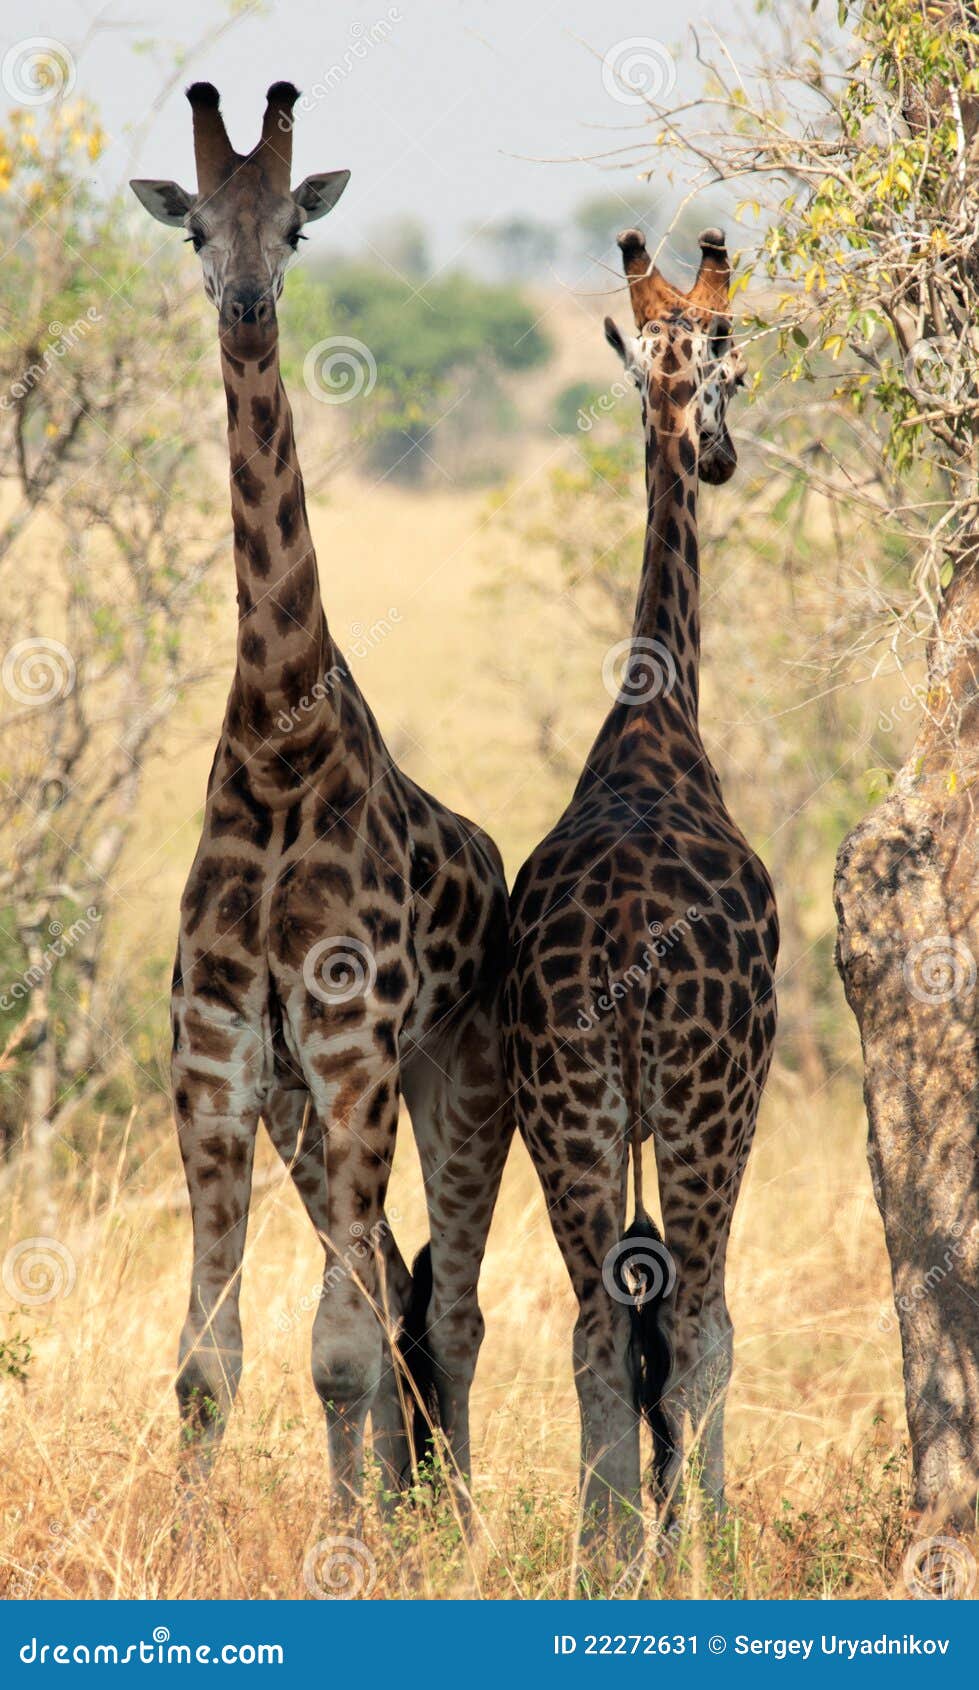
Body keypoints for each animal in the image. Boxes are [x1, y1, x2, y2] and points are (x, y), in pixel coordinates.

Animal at [130, 83, 512, 1506]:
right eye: (198, 230)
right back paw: (411, 1504)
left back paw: (450, 1519)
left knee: (445, 1302)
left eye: (293, 225)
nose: (247, 305)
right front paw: (191, 1538)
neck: (277, 741)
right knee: (396, 1280)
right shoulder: (221, 1059)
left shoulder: (355, 1050)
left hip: (463, 1082)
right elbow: (208, 1362)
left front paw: (345, 1544)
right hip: (309, 1114)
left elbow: (336, 1351)